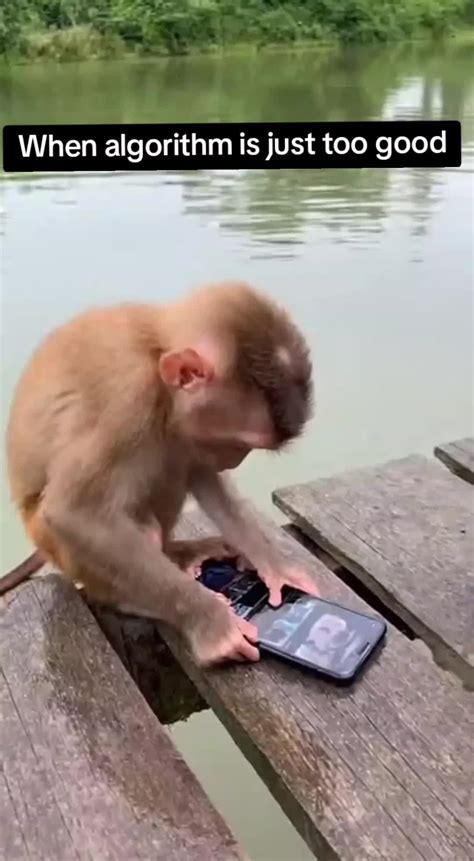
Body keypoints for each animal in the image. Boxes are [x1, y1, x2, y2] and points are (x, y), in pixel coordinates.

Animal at [6, 281, 318, 666]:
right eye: (240, 444)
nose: (235, 461)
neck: (154, 351)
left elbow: (201, 470)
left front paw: (274, 566)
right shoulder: (128, 400)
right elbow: (74, 513)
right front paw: (214, 626)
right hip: (48, 537)